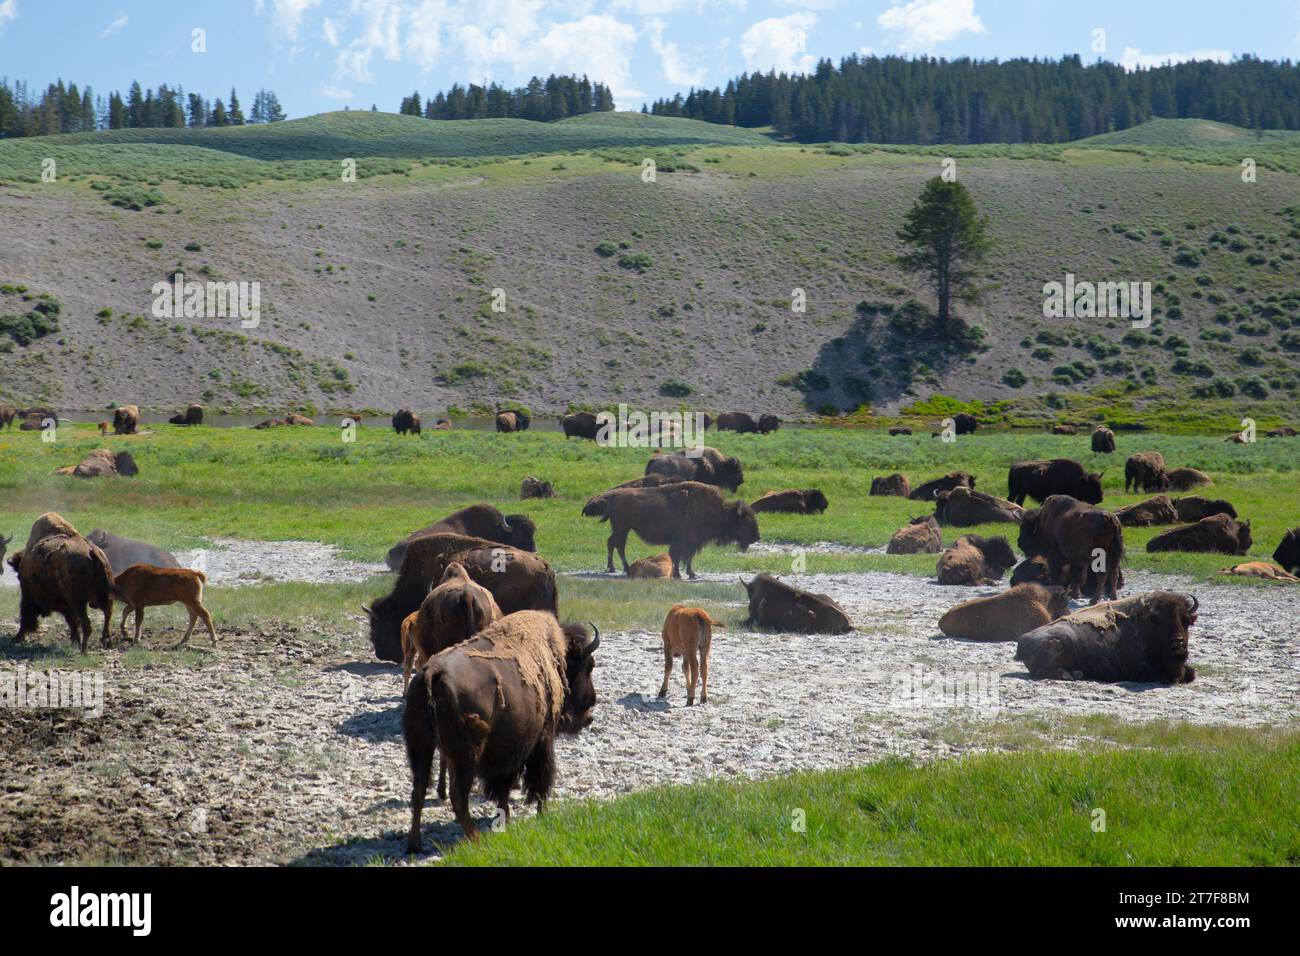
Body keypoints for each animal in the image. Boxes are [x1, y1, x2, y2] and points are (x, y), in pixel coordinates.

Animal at [403, 611, 598, 849]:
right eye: (588, 666)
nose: (590, 712)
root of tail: (431, 671)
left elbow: (502, 789)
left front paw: (506, 818)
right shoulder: (541, 740)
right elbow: (540, 779)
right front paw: (542, 814)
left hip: (421, 746)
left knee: (419, 790)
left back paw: (414, 845)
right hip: (466, 755)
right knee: (458, 796)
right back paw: (475, 839)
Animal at [585, 481, 758, 579]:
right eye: (745, 521)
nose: (757, 537)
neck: (718, 511)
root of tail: (615, 496)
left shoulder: (692, 543)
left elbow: (688, 558)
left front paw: (692, 574)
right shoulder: (683, 542)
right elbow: (678, 557)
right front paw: (679, 575)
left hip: (622, 528)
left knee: (612, 543)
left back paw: (614, 568)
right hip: (622, 528)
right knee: (618, 545)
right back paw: (622, 568)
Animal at [1015, 591, 1198, 684]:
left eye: (1187, 621)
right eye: (1158, 621)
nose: (1178, 644)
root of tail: (1022, 640)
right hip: (1060, 640)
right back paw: (1072, 675)